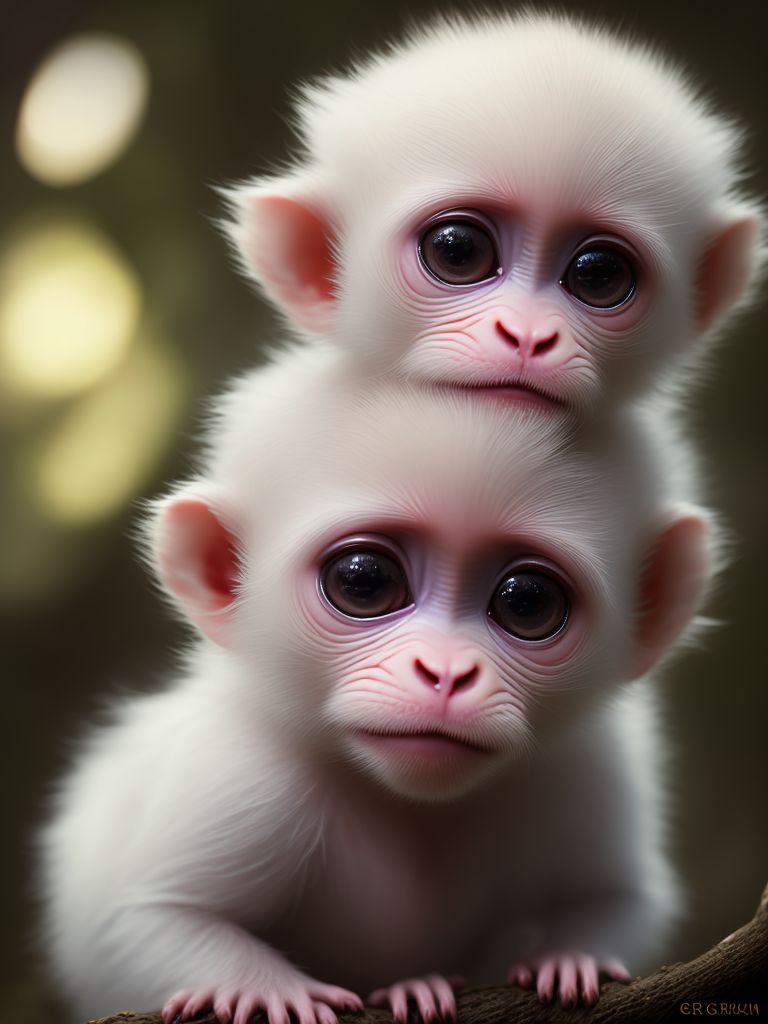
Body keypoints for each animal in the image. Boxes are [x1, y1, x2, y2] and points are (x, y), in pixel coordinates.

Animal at [39, 387, 716, 1021]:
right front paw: (270, 989)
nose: (446, 674)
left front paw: (571, 959)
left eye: (528, 601)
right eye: (363, 581)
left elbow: (620, 898)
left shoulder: (587, 762)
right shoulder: (245, 773)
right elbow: (146, 923)